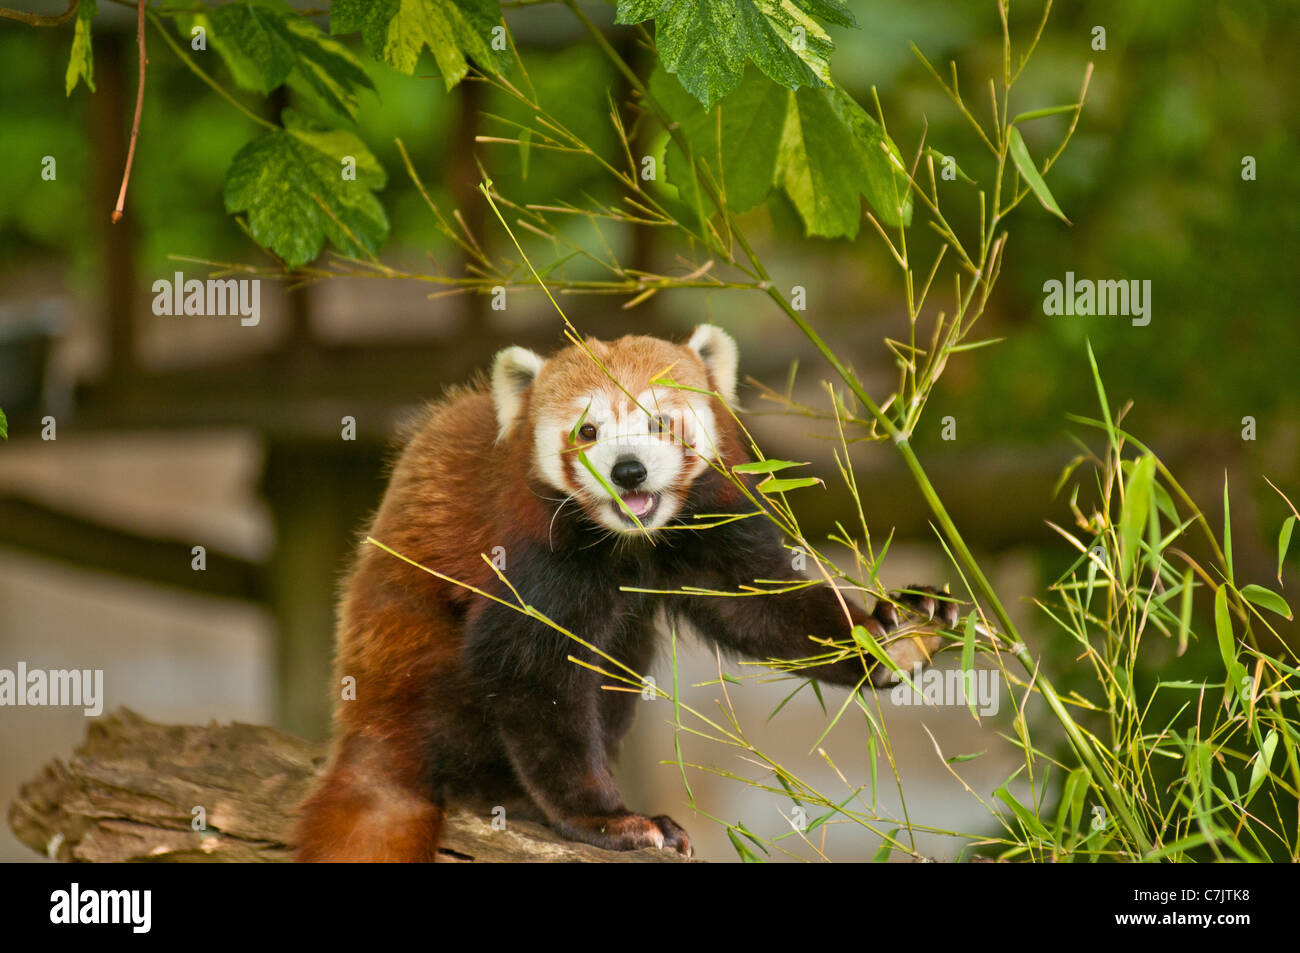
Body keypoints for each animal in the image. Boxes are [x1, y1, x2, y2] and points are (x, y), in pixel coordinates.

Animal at [294, 325, 957, 861]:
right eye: (588, 431)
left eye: (660, 422)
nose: (628, 470)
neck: (632, 540)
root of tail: (367, 727)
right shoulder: (532, 549)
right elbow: (526, 672)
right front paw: (606, 819)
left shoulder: (706, 528)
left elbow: (764, 609)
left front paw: (893, 635)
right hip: (416, 671)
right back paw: (501, 793)